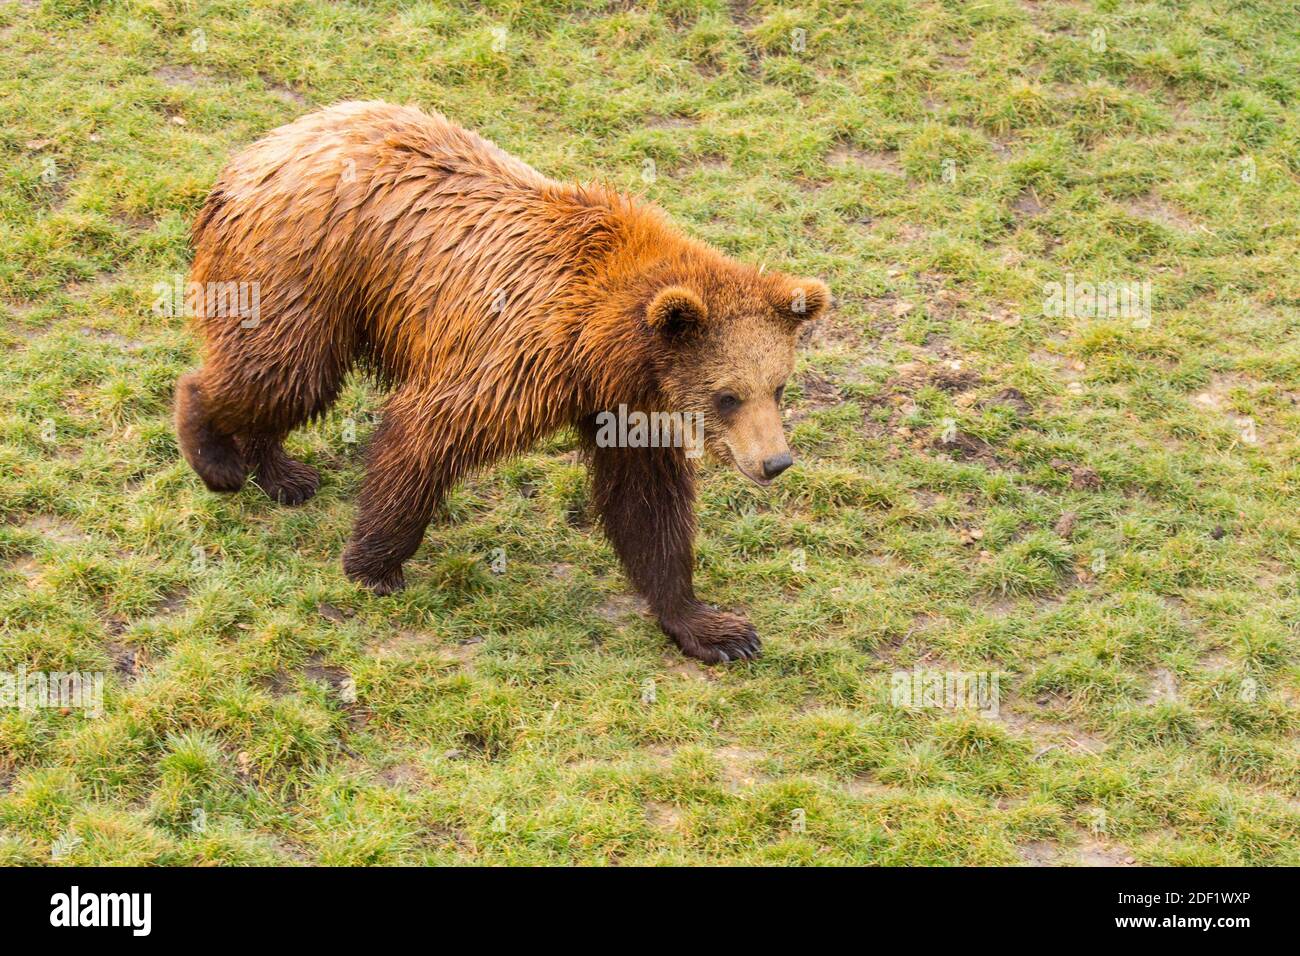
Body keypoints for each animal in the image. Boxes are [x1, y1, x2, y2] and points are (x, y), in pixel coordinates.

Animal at [175, 101, 829, 663]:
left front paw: (715, 628)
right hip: (305, 267)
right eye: (728, 396)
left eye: (778, 386)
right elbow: (430, 429)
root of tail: (258, 150)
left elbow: (646, 504)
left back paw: (281, 473)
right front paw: (374, 565)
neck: (603, 342)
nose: (774, 462)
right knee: (282, 370)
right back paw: (214, 450)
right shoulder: (522, 354)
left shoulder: (622, 404)